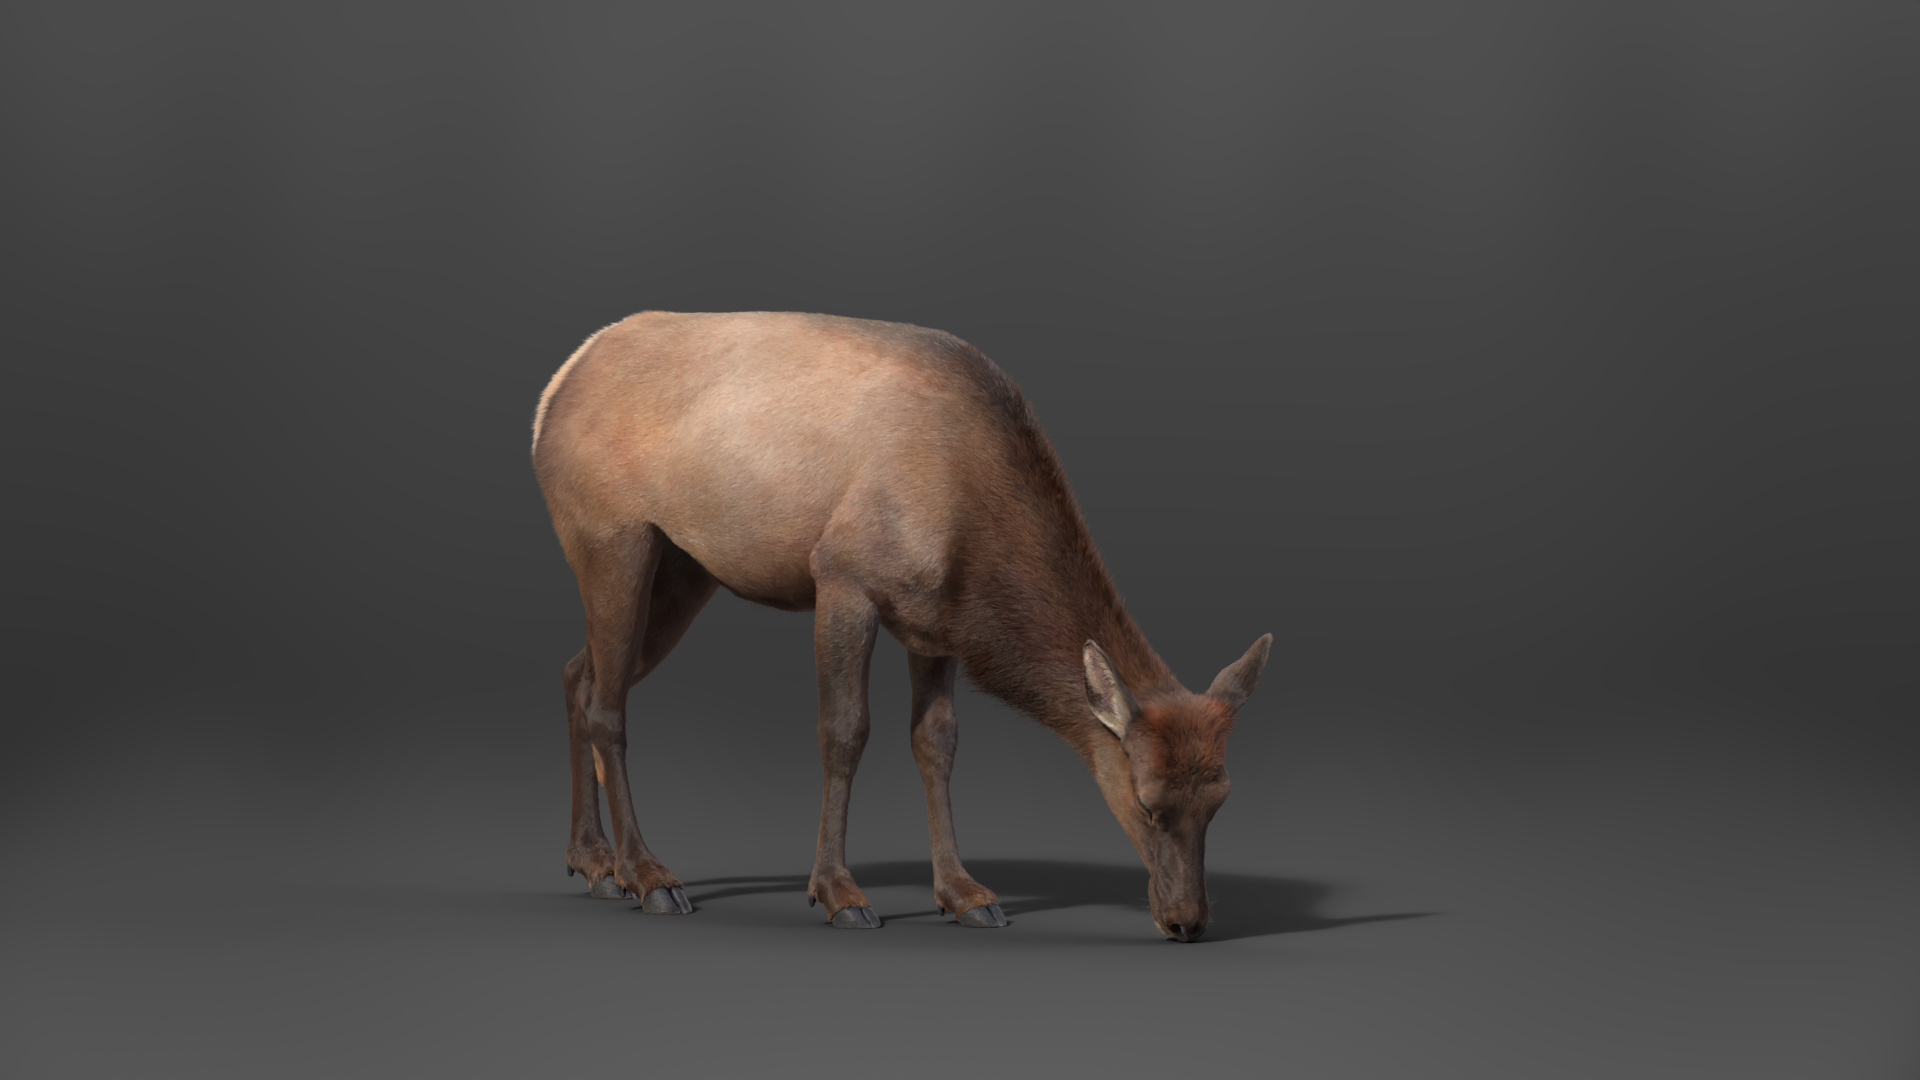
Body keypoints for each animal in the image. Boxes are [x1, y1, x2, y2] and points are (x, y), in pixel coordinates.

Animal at [531, 311, 1270, 942]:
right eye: (1146, 802)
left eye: (1221, 799)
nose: (1187, 922)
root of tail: (551, 395)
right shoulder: (843, 574)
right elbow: (844, 732)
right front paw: (838, 892)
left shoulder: (936, 624)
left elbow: (936, 743)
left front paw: (965, 894)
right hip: (610, 536)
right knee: (607, 703)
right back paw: (648, 875)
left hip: (686, 568)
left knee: (578, 673)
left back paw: (593, 862)